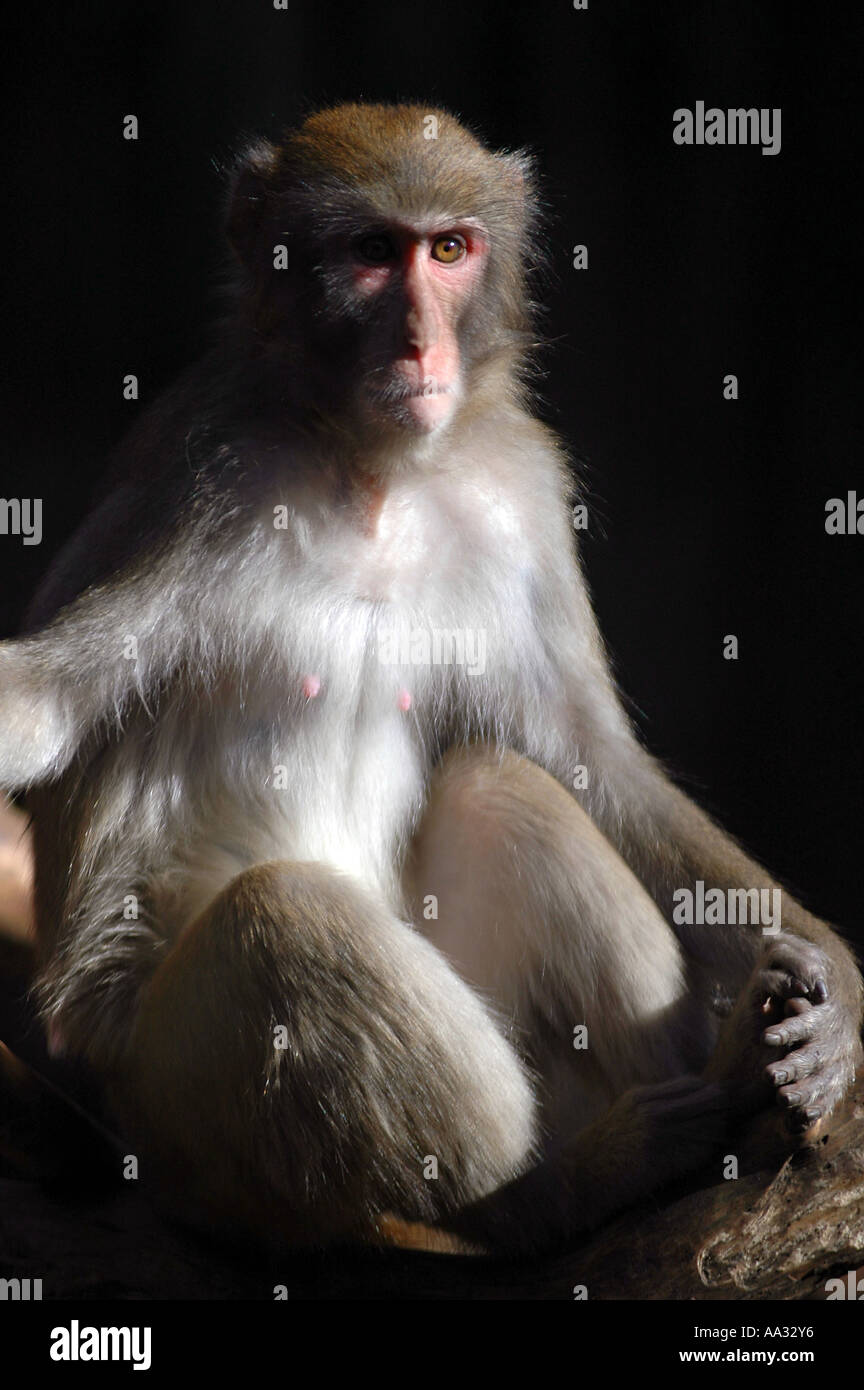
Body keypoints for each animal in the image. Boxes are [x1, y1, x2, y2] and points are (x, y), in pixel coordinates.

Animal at [0, 102, 860, 1255]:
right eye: (373, 252)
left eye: (448, 250)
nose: (420, 339)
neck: (372, 473)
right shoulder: (195, 484)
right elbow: (46, 712)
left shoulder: (519, 487)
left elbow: (586, 757)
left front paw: (836, 985)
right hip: (184, 1118)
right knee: (283, 915)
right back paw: (540, 1198)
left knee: (499, 787)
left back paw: (710, 1104)